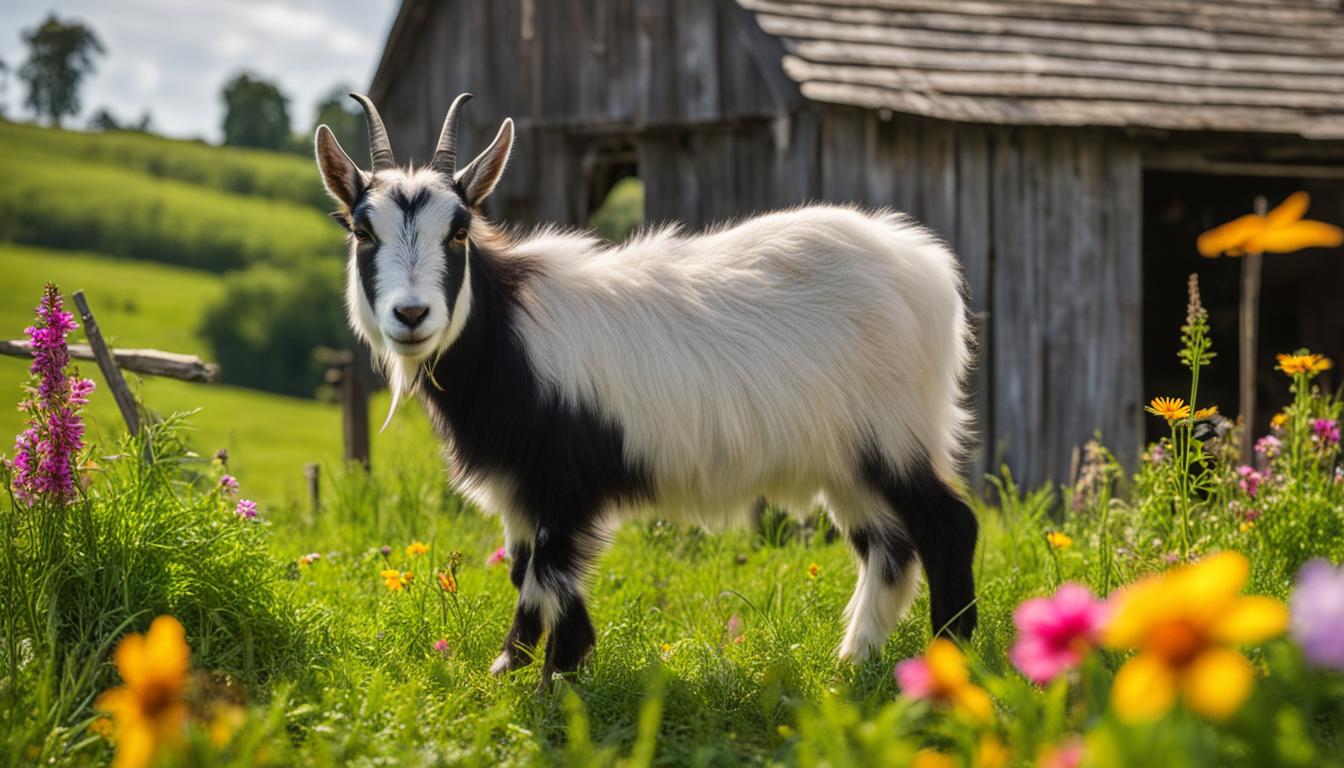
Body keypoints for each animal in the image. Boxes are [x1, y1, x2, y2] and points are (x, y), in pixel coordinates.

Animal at [314, 93, 979, 681]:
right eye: (361, 232)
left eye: (458, 232)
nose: (411, 314)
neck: (510, 330)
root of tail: (927, 270)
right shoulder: (522, 490)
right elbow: (528, 573)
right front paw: (527, 665)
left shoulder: (563, 481)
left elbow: (548, 579)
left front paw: (552, 681)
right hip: (846, 459)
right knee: (890, 548)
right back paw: (855, 661)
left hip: (892, 434)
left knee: (950, 527)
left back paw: (950, 661)